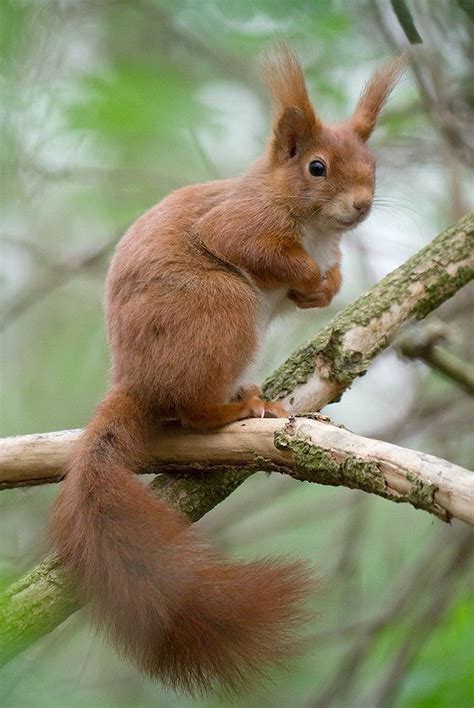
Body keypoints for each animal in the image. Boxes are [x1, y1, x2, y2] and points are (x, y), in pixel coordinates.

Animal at [50, 45, 402, 695]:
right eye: (316, 167)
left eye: (374, 164)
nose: (362, 206)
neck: (314, 228)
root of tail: (132, 383)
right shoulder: (239, 220)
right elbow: (249, 245)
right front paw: (310, 275)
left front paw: (326, 287)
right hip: (224, 309)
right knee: (190, 410)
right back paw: (239, 408)